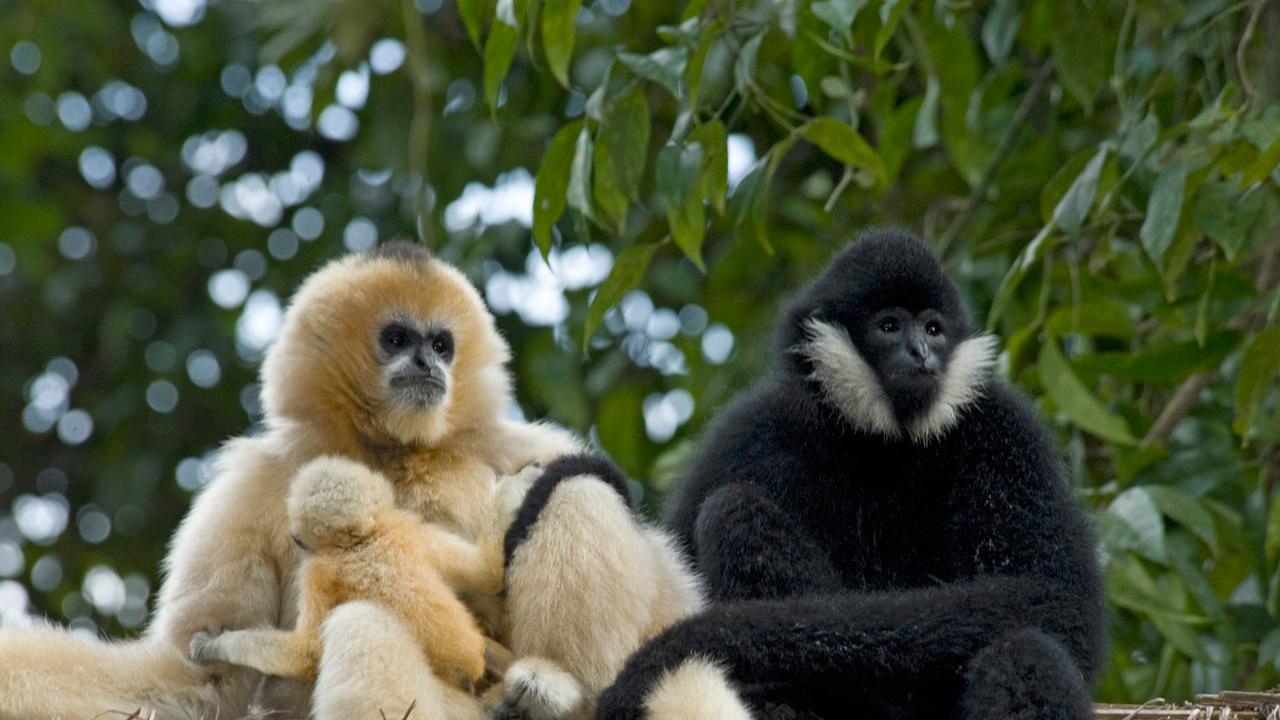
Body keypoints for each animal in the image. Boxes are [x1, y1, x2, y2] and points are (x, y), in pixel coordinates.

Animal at [188, 455, 515, 691]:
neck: (363, 539)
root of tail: (471, 664)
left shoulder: (316, 571)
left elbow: (304, 654)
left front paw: (213, 646)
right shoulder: (409, 527)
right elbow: (487, 571)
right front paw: (515, 488)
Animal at [594, 229, 1107, 720]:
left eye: (934, 329)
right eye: (889, 326)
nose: (922, 351)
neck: (882, 441)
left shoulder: (1004, 427)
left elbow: (1054, 597)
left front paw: (698, 640)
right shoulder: (753, 427)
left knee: (1026, 648)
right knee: (733, 508)